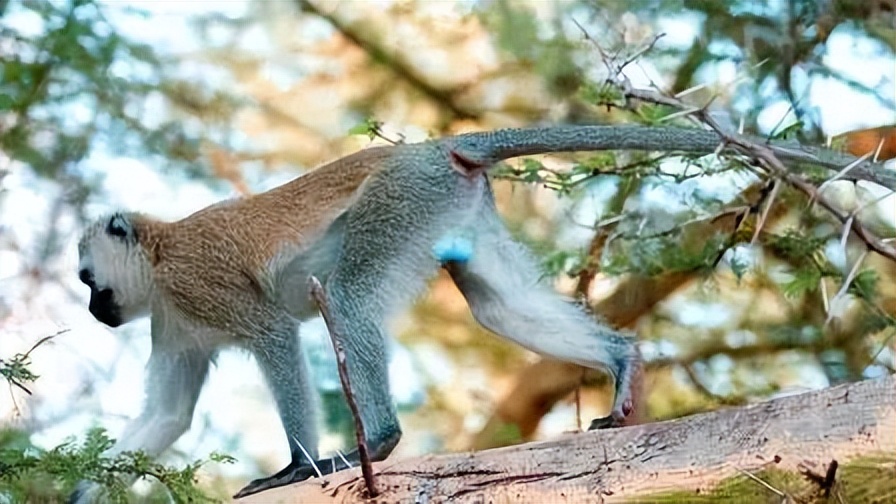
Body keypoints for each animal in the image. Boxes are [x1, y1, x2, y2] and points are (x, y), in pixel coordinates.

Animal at [69, 125, 871, 502]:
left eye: (86, 279)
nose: (94, 310)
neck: (159, 259)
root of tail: (433, 147)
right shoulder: (174, 323)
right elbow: (168, 416)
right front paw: (74, 489)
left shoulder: (200, 287)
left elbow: (274, 336)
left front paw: (296, 469)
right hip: (451, 207)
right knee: (496, 306)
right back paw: (621, 362)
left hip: (398, 201)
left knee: (351, 300)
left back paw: (380, 441)